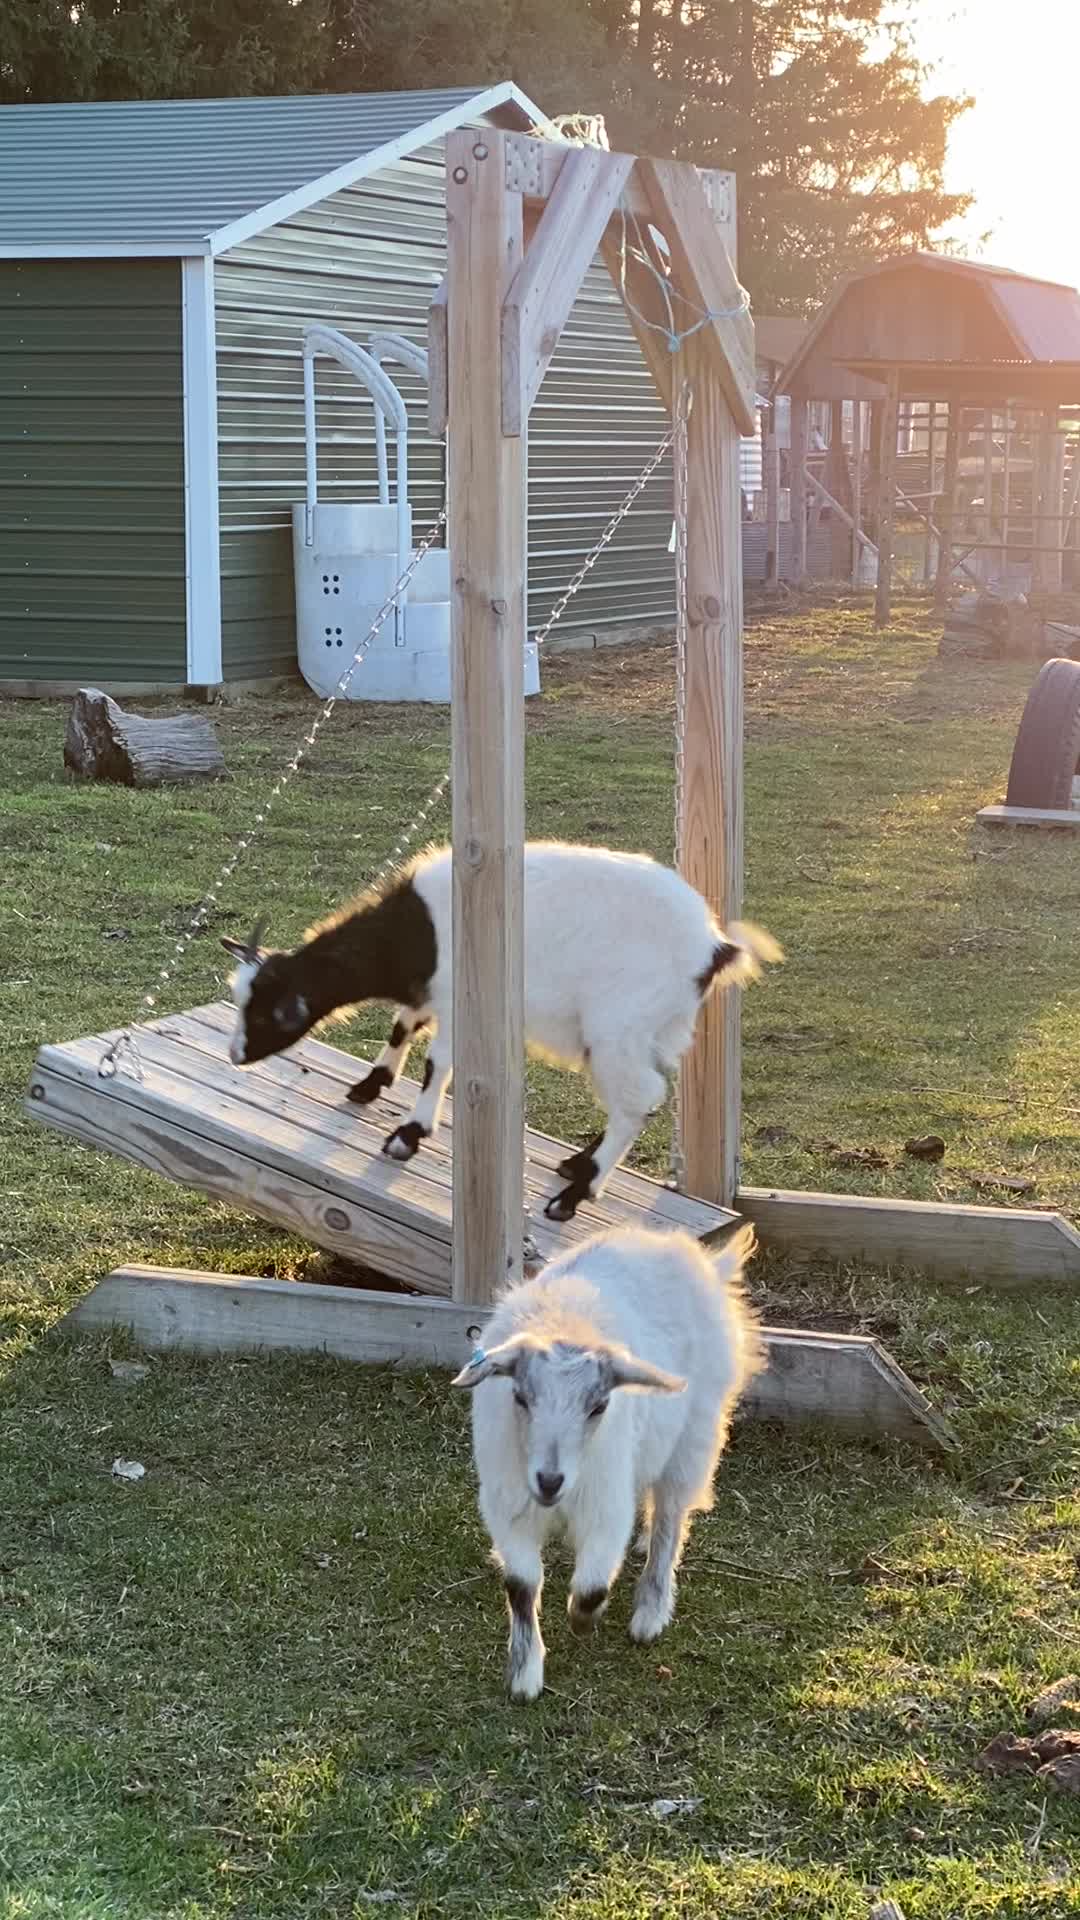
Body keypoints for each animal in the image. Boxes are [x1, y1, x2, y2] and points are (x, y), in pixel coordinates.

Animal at [222, 841, 780, 1221]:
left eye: (269, 1013)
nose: (235, 1055)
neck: (418, 930)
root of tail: (715, 947)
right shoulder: (432, 991)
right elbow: (404, 1025)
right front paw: (370, 1084)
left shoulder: (457, 998)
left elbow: (438, 1062)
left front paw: (408, 1134)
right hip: (651, 1030)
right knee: (644, 1097)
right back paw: (577, 1167)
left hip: (619, 1028)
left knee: (637, 1099)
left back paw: (573, 1197)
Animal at [452, 1222, 763, 1700]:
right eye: (520, 1397)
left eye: (599, 1407)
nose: (549, 1481)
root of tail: (693, 1256)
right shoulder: (509, 1506)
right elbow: (521, 1585)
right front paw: (524, 1675)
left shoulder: (605, 1506)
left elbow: (593, 1585)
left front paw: (582, 1621)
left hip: (696, 1435)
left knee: (672, 1518)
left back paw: (650, 1610)